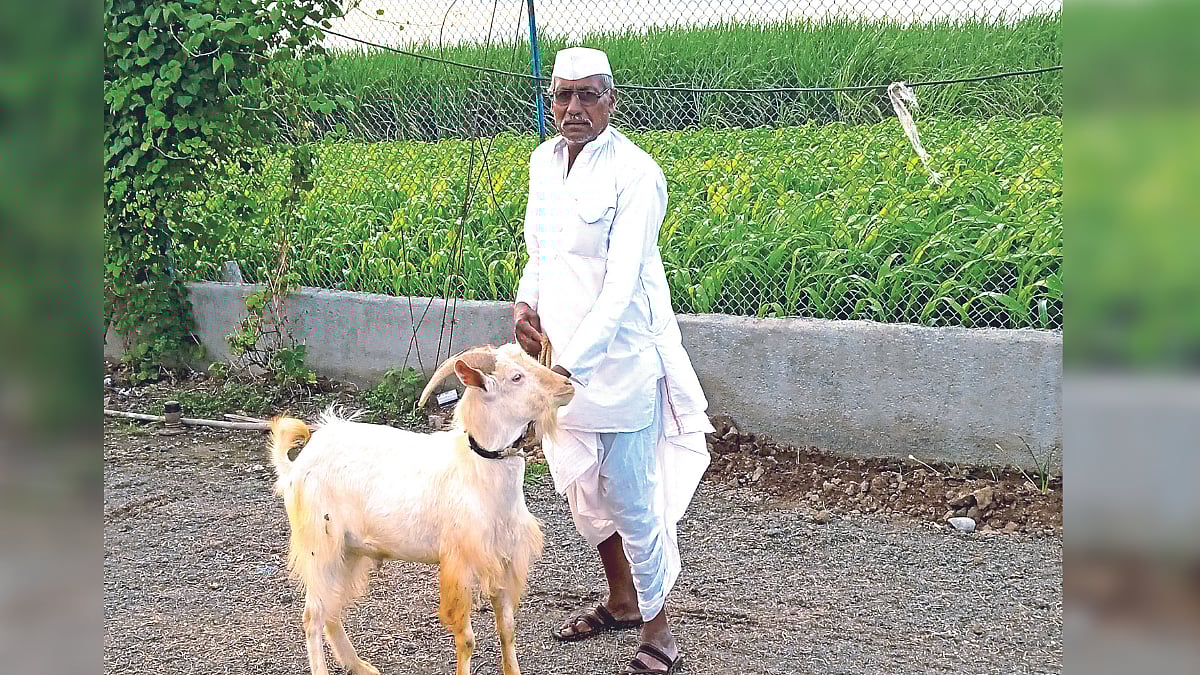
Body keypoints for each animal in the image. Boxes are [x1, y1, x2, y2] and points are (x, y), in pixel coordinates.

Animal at [268, 343, 574, 675]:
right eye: (516, 377)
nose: (567, 385)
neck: (476, 469)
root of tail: (296, 466)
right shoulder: (459, 564)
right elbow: (466, 639)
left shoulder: (503, 558)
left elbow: (507, 629)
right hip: (321, 548)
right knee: (313, 616)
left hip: (348, 550)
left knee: (331, 611)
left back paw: (360, 665)